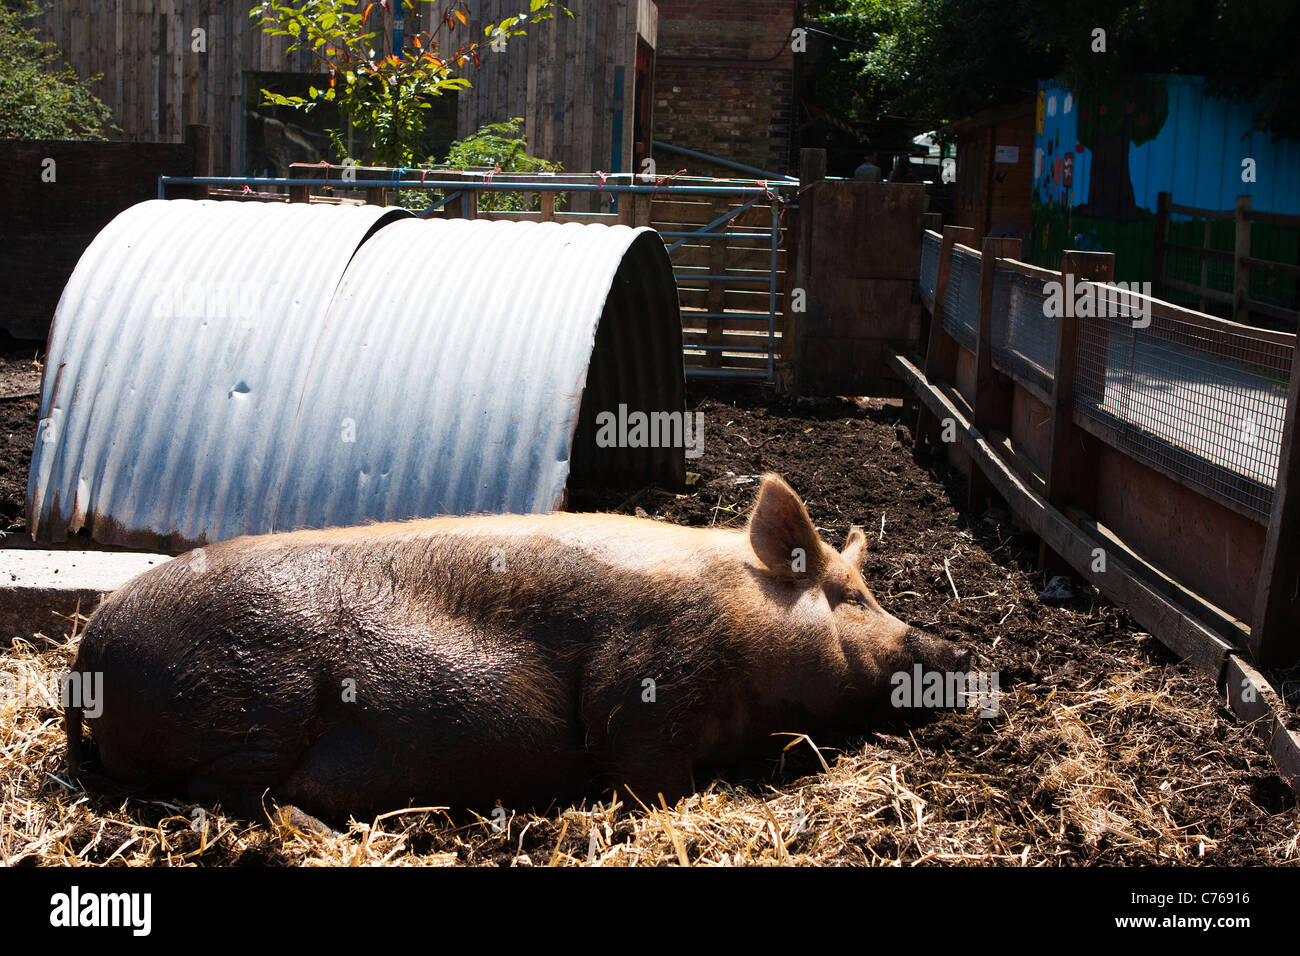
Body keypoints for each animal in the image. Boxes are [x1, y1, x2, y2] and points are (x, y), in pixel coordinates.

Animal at [66, 473, 968, 822]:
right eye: (849, 596)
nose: (955, 652)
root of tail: (85, 656)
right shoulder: (646, 686)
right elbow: (645, 773)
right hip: (256, 702)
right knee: (217, 795)